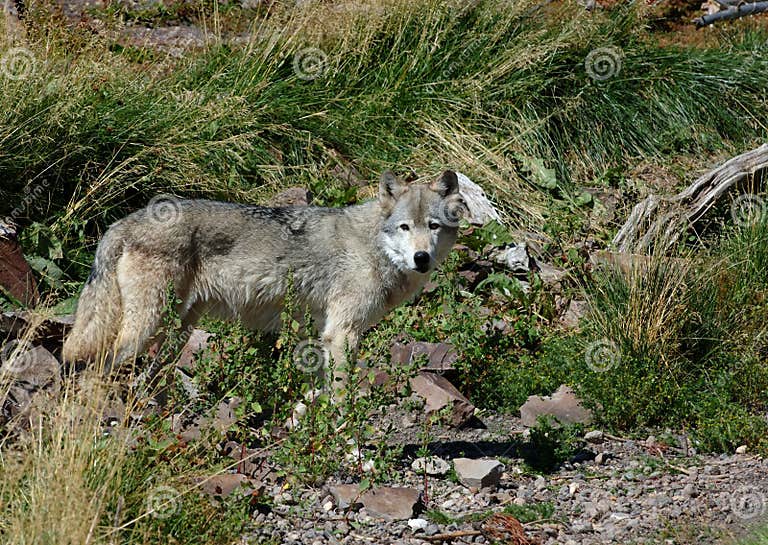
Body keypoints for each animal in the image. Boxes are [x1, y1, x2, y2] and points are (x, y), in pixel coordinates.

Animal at [62, 170, 467, 394]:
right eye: (405, 227)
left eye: (433, 226)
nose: (421, 258)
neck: (373, 246)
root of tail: (123, 222)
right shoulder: (342, 334)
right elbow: (341, 398)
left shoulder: (322, 331)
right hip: (145, 329)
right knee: (92, 371)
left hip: (175, 331)